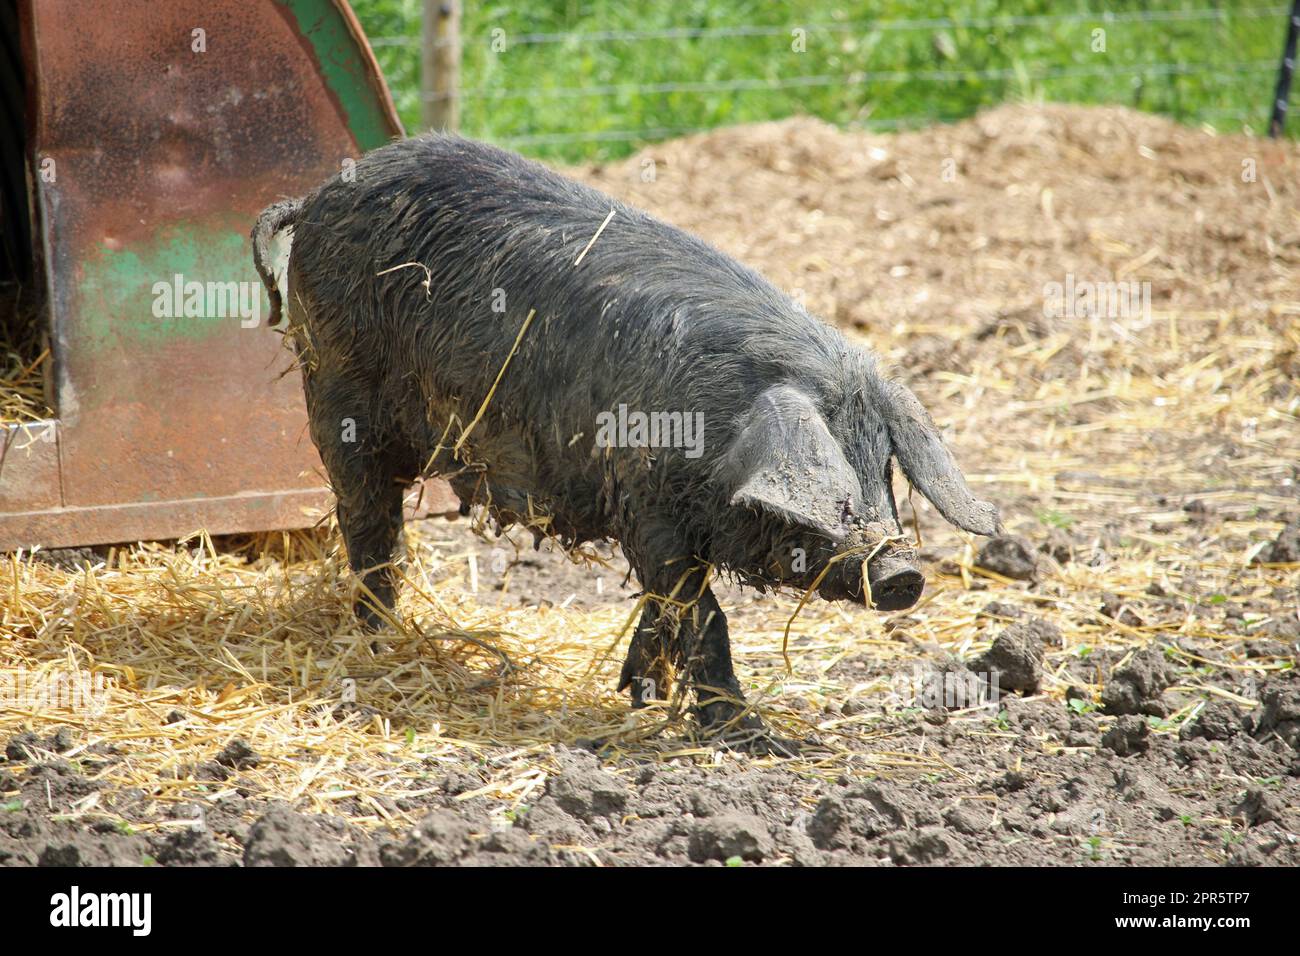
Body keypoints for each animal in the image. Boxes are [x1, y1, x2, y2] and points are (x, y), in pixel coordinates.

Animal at [252, 134, 1000, 751]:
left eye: (884, 469)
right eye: (836, 483)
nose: (902, 573)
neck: (715, 429)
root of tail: (314, 198)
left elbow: (663, 610)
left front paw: (642, 695)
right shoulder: (649, 507)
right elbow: (701, 613)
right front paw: (752, 740)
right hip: (337, 396)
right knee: (370, 528)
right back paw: (376, 643)